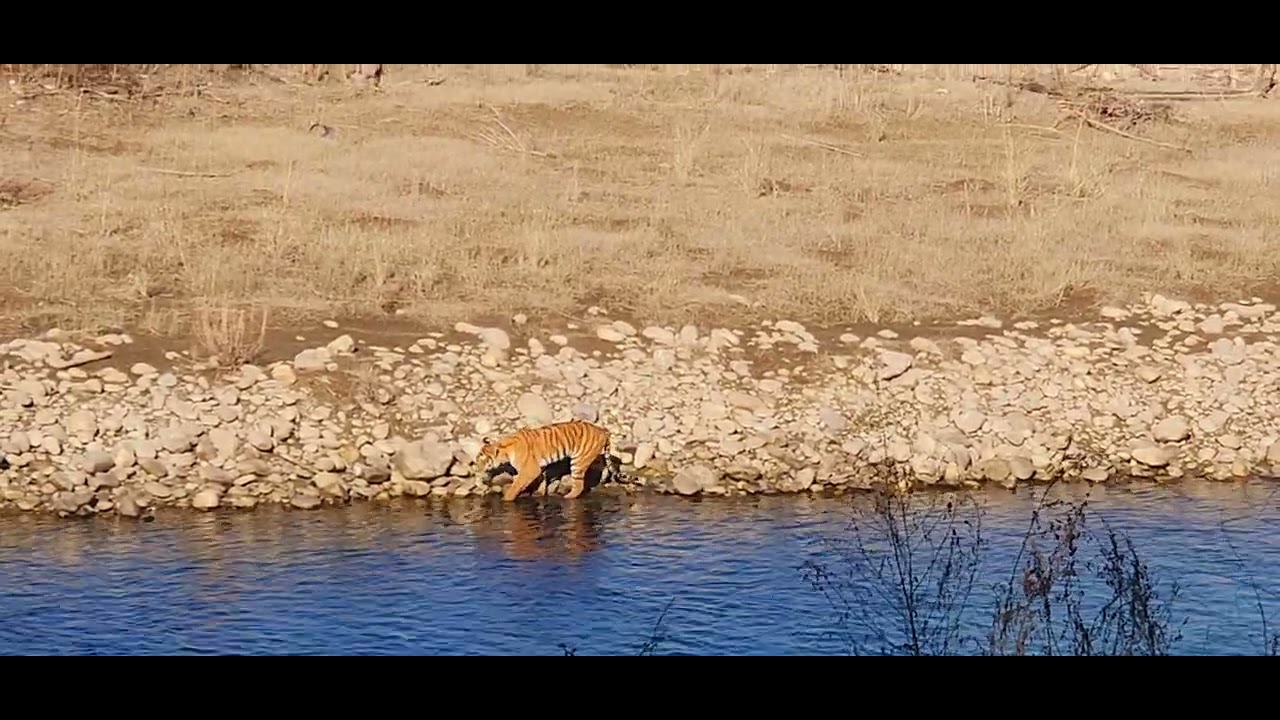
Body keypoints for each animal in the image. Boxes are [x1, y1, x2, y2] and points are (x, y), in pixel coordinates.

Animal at [474, 419, 621, 502]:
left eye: (482, 461)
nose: (476, 470)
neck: (505, 450)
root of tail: (603, 430)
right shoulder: (540, 467)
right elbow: (541, 481)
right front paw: (539, 494)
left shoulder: (530, 469)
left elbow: (516, 486)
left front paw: (506, 499)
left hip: (578, 462)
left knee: (579, 486)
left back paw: (567, 498)